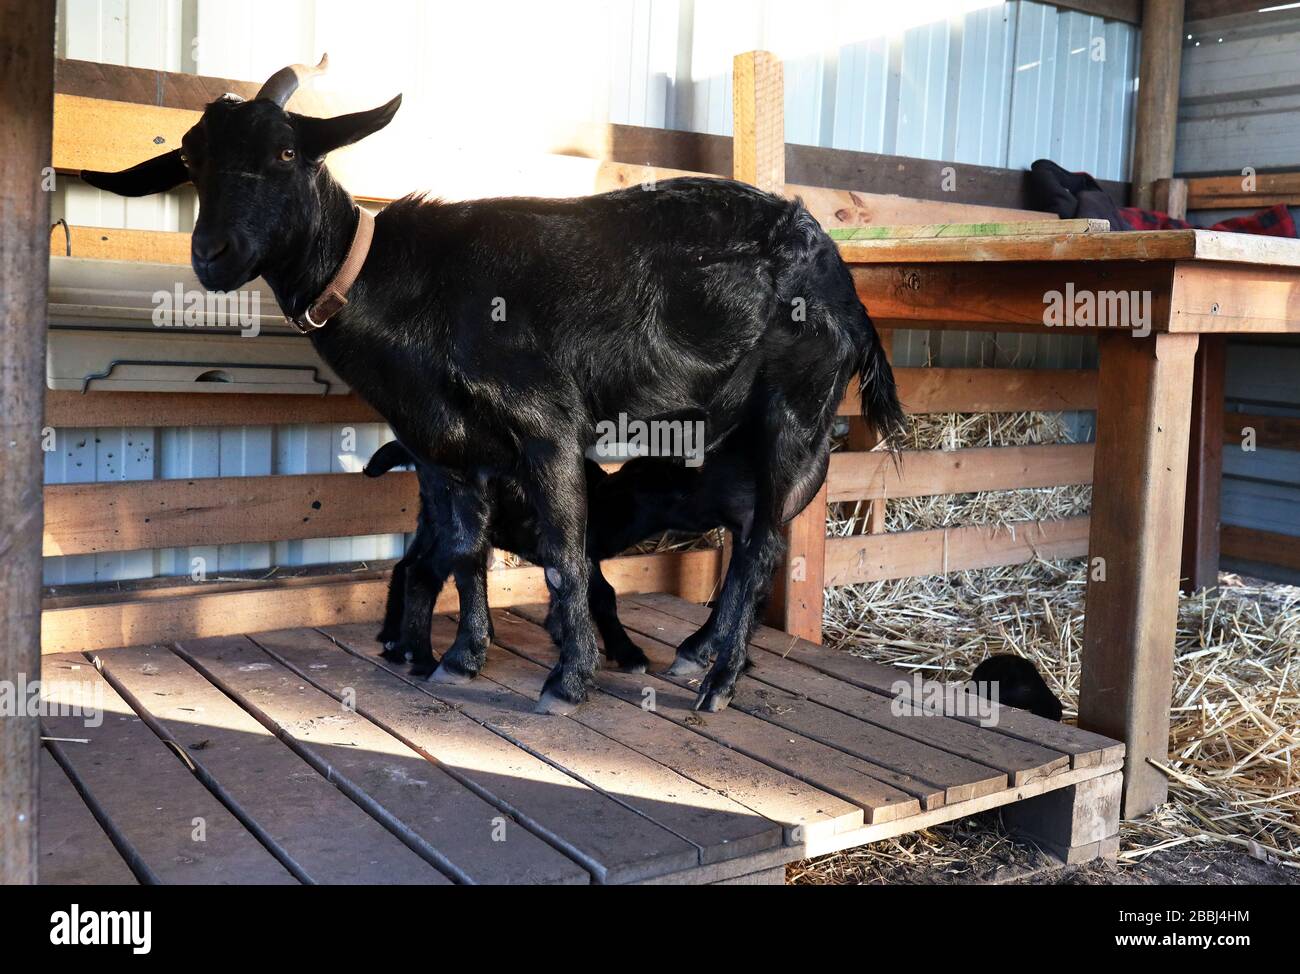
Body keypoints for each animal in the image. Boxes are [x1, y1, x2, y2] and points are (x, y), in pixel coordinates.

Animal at [82, 56, 905, 714]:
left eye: (287, 150)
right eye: (190, 161)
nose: (213, 255)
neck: (400, 286)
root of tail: (843, 282)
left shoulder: (547, 426)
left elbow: (567, 558)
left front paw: (567, 682)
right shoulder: (447, 445)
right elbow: (462, 552)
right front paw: (458, 659)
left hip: (798, 411)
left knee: (764, 543)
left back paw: (718, 682)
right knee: (750, 533)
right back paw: (699, 654)